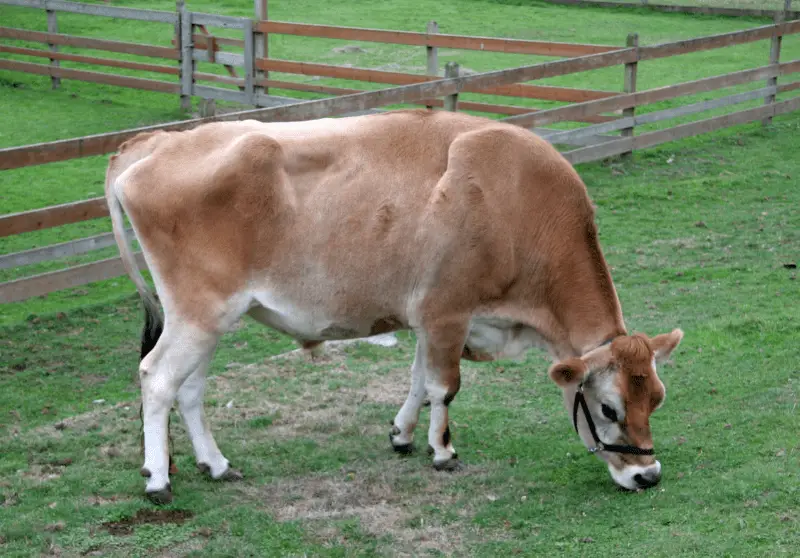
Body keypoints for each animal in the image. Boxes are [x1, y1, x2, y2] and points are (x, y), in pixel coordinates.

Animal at [104, 109, 684, 505]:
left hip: (211, 319)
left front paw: (402, 435)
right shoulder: (448, 312)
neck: (518, 202)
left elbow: (417, 381)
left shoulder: (428, 319)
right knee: (157, 378)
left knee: (190, 389)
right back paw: (158, 479)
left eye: (656, 399)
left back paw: (216, 464)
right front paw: (443, 452)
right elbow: (443, 386)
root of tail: (156, 142)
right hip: (198, 314)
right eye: (608, 408)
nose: (647, 475)